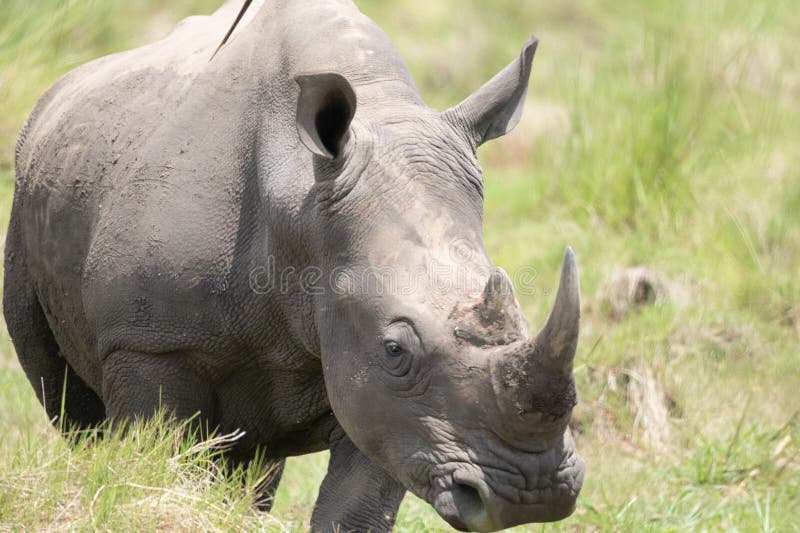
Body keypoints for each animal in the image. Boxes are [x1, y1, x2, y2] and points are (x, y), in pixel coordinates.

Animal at [4, 0, 584, 530]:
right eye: (395, 349)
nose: (530, 495)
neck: (299, 200)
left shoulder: (391, 409)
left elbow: (354, 510)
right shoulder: (148, 341)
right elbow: (160, 466)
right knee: (73, 414)